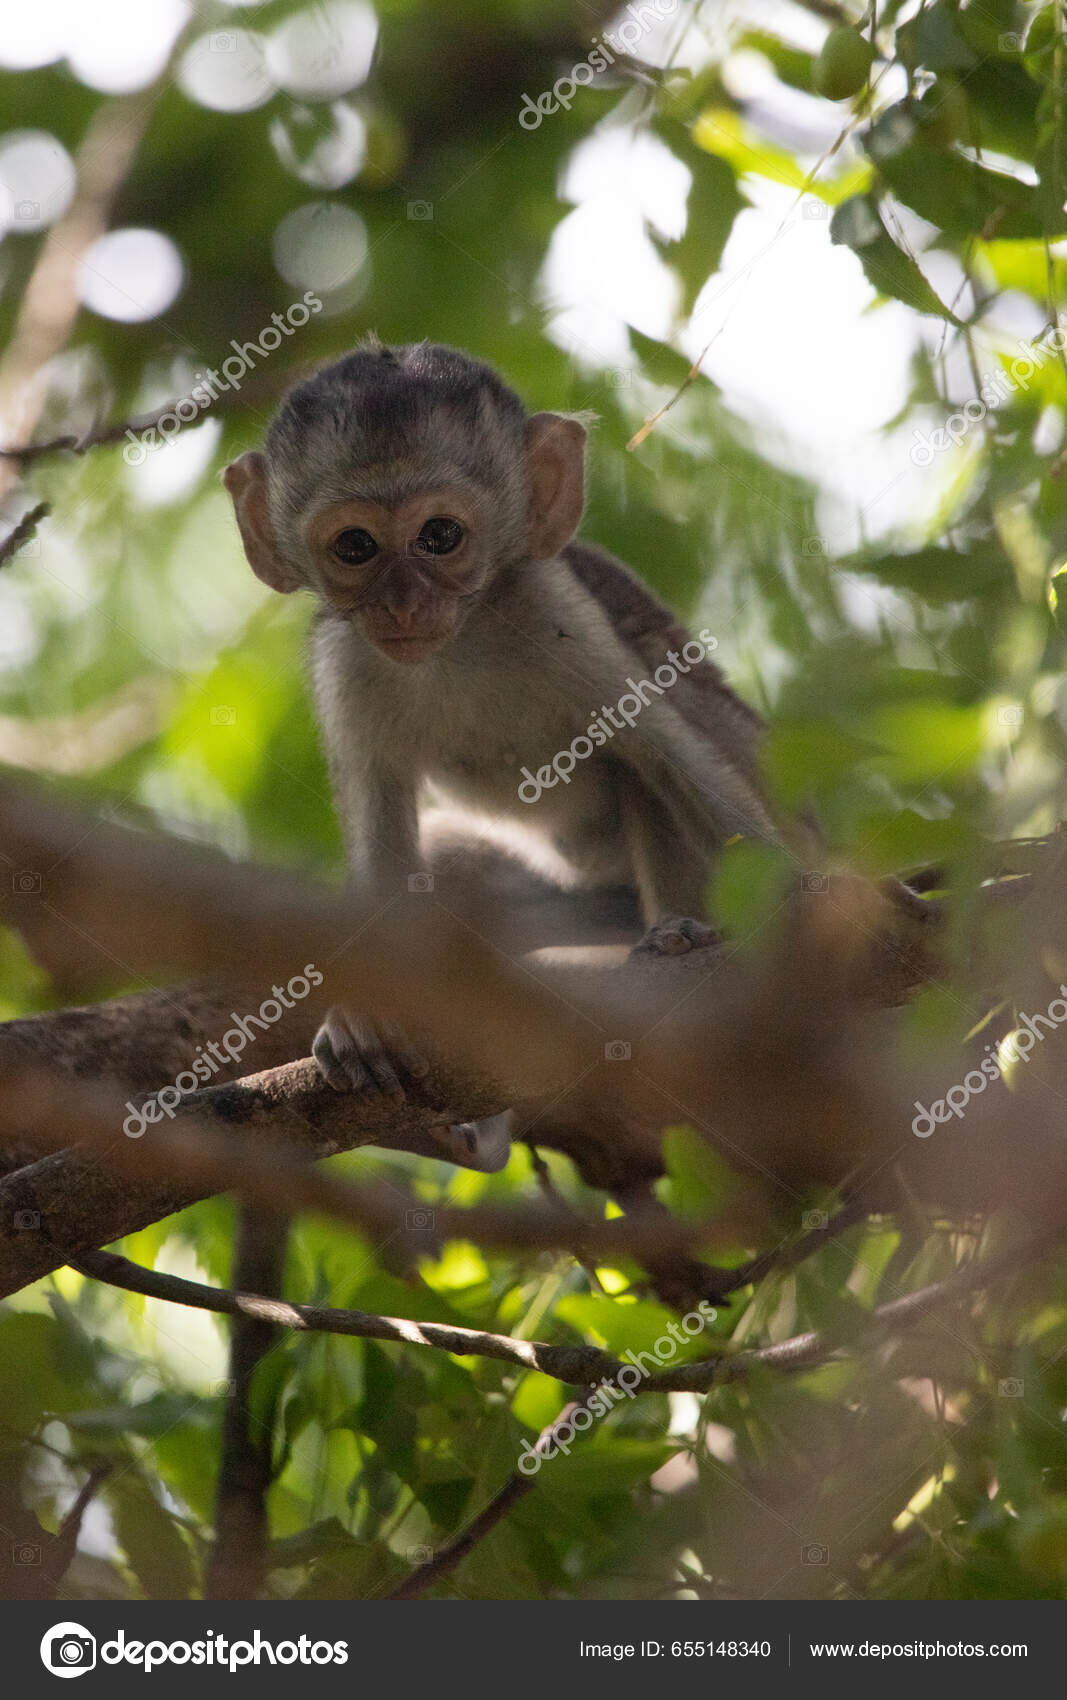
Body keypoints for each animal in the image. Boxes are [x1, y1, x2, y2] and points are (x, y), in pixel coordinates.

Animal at [224, 339, 780, 1151]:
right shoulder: (345, 662)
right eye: (356, 546)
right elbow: (384, 837)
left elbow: (668, 758)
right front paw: (366, 1019)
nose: (403, 604)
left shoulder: (557, 612)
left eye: (439, 536)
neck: (461, 643)